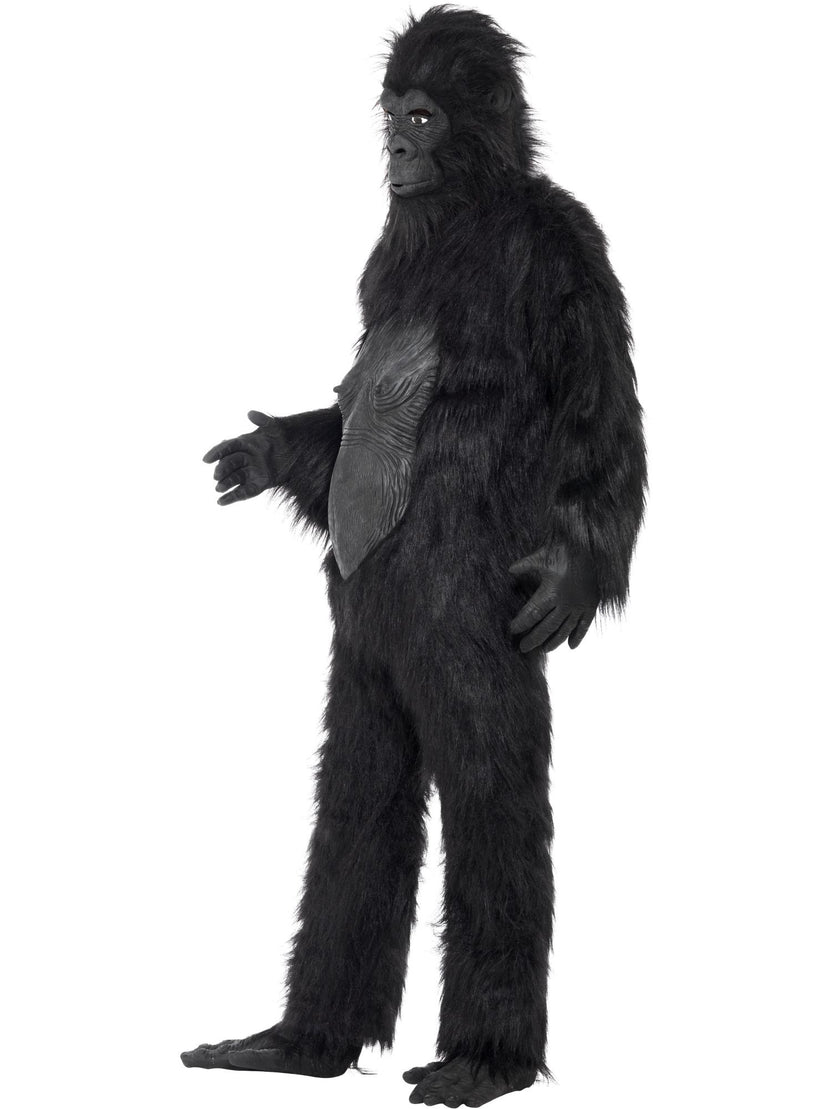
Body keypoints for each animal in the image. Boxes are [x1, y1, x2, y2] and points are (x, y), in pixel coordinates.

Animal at [181, 8, 646, 1106]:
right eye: (394, 114)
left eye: (426, 118)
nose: (395, 150)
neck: (467, 214)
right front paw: (264, 454)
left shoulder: (569, 252)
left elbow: (602, 424)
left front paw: (569, 579)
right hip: (368, 661)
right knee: (359, 789)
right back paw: (300, 1042)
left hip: (460, 644)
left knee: (491, 794)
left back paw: (483, 1060)